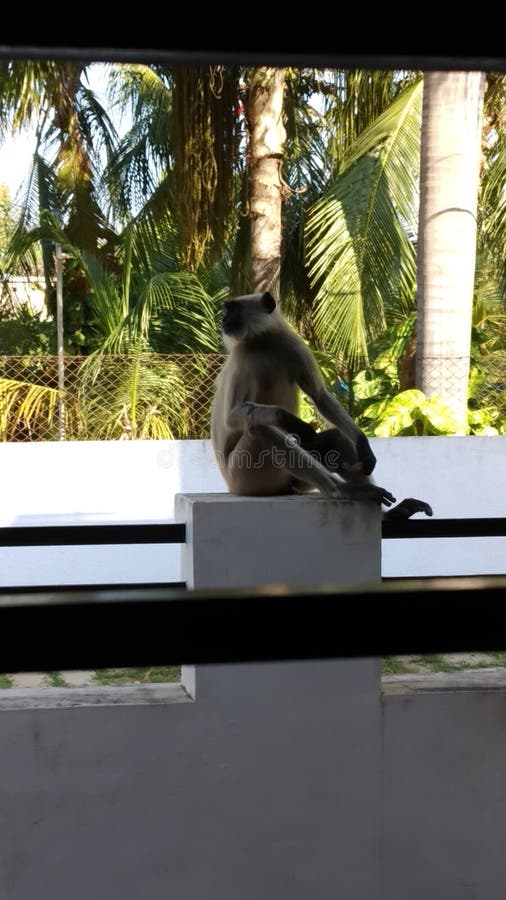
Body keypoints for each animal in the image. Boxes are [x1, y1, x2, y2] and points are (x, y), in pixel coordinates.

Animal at [210, 291, 432, 519]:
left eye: (232, 310)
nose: (223, 320)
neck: (263, 341)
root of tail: (230, 486)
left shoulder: (293, 344)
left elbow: (319, 396)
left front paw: (362, 442)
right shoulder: (242, 356)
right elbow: (231, 416)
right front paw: (291, 421)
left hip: (291, 481)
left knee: (334, 439)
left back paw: (388, 511)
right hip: (245, 476)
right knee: (260, 430)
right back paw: (341, 491)